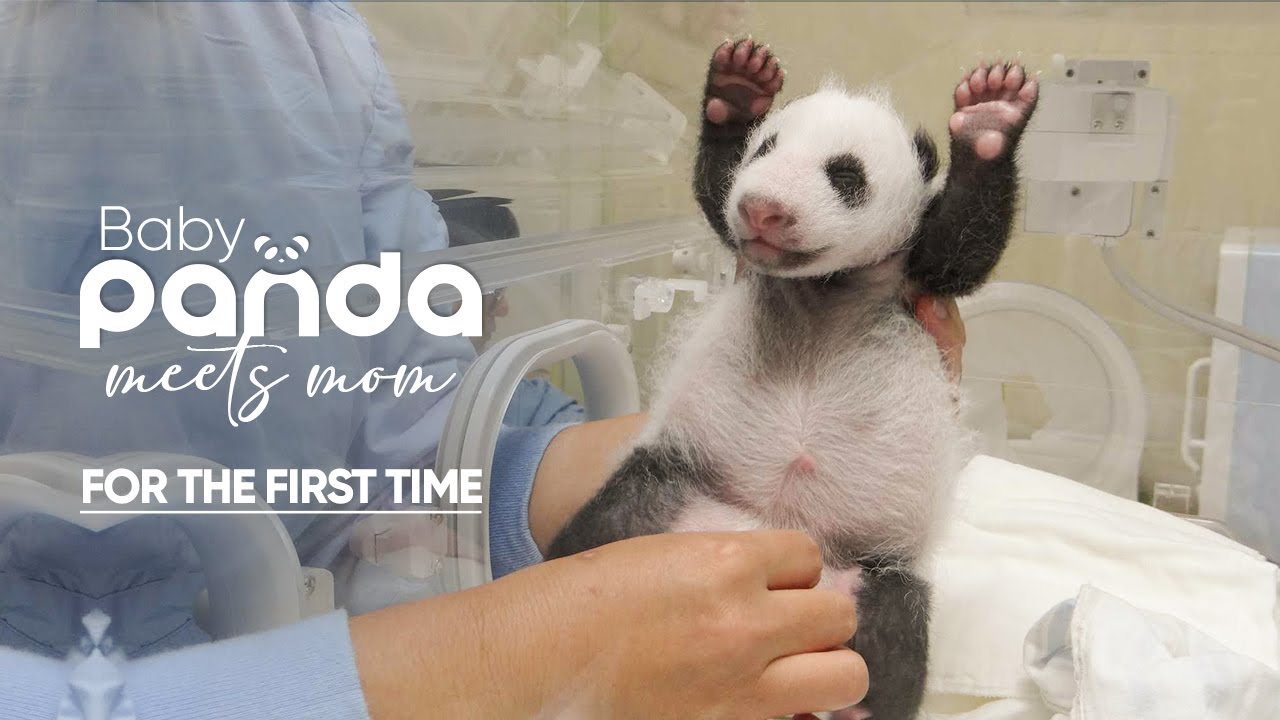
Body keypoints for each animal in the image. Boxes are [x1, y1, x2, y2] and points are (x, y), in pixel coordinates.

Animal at [548, 38, 1039, 720]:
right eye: (766, 149)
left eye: (845, 175)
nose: (762, 209)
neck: (824, 286)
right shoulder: (739, 241)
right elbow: (715, 190)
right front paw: (737, 87)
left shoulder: (915, 271)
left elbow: (961, 247)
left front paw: (990, 118)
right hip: (668, 483)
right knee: (606, 526)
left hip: (876, 570)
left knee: (895, 636)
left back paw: (865, 706)